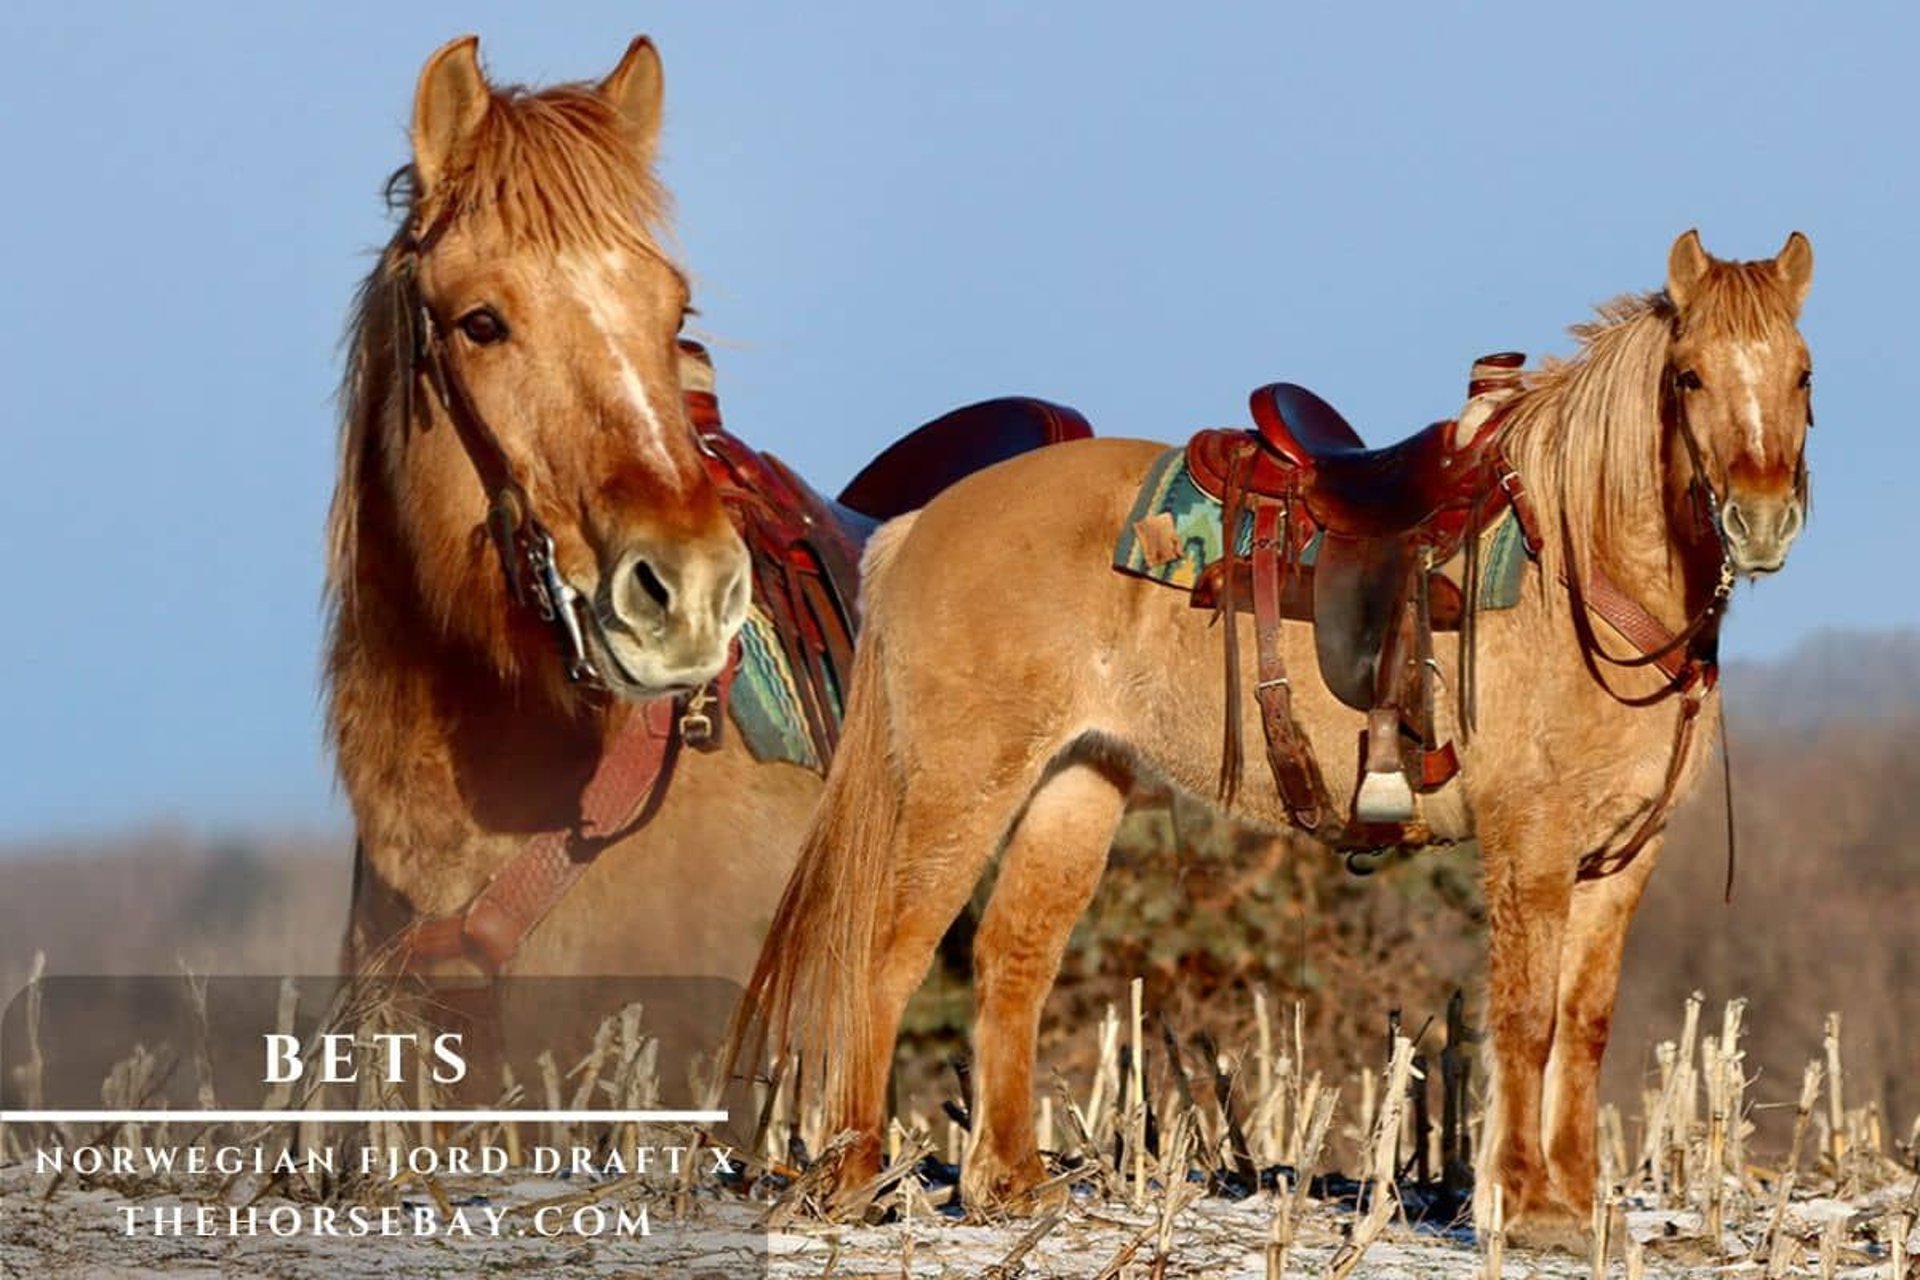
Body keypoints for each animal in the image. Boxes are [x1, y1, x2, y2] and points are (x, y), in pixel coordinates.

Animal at [734, 230, 1815, 1247]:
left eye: (1802, 372)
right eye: (1689, 376)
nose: (1762, 522)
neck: (1576, 562)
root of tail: (918, 523)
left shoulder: (1621, 859)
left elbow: (1585, 1026)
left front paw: (1579, 1206)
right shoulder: (1531, 843)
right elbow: (1529, 1014)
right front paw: (1527, 1207)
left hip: (1075, 782)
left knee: (1014, 958)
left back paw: (1010, 1184)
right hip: (964, 781)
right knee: (888, 953)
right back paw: (856, 1175)